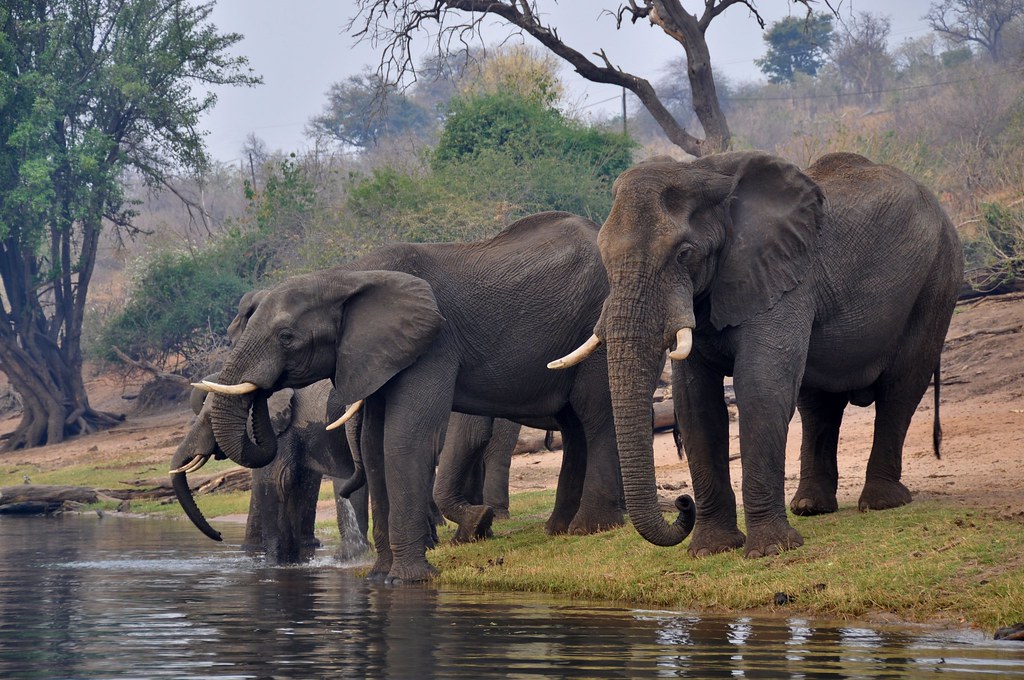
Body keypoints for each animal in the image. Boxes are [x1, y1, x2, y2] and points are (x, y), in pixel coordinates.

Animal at [194, 211, 650, 583]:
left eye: (287, 337)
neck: (346, 275)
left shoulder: (433, 343)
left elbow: (404, 437)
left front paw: (410, 579)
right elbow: (373, 445)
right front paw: (380, 577)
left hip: (599, 321)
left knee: (595, 415)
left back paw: (591, 529)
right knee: (574, 424)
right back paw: (559, 529)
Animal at [552, 151, 961, 558]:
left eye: (684, 254)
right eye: (604, 257)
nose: (683, 503)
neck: (706, 172)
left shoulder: (786, 279)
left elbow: (761, 386)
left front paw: (770, 551)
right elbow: (695, 403)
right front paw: (712, 550)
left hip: (938, 278)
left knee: (901, 386)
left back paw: (881, 503)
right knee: (817, 402)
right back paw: (811, 507)